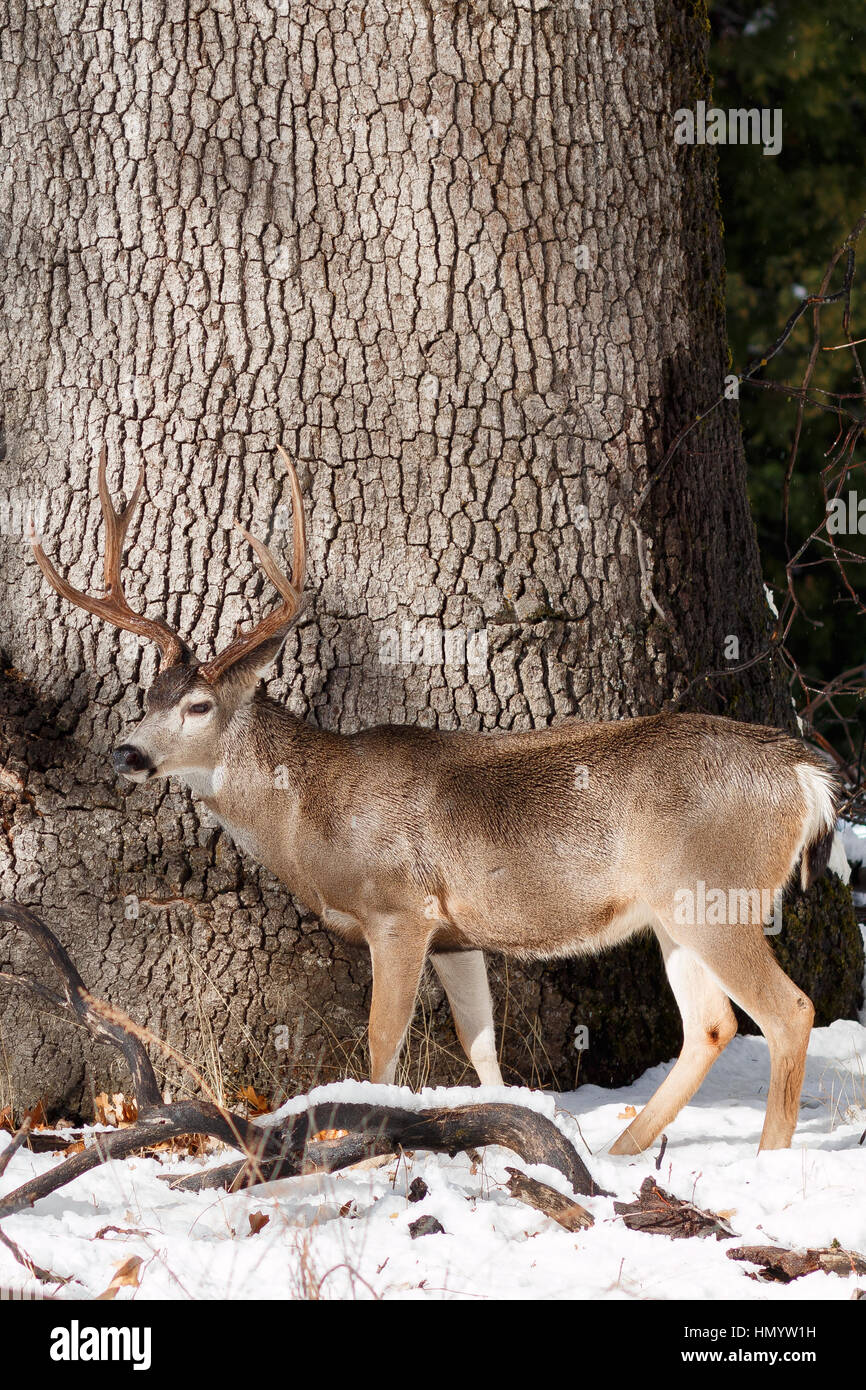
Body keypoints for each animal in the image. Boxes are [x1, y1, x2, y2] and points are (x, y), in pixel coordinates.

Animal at [30, 445, 838, 1154]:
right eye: (147, 697)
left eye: (198, 705)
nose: (126, 753)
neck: (311, 813)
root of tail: (805, 774)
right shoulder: (457, 934)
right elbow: (482, 1049)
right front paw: (506, 1130)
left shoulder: (399, 909)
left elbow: (381, 1042)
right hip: (672, 909)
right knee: (711, 1025)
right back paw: (624, 1151)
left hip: (717, 888)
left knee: (788, 1011)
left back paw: (762, 1162)